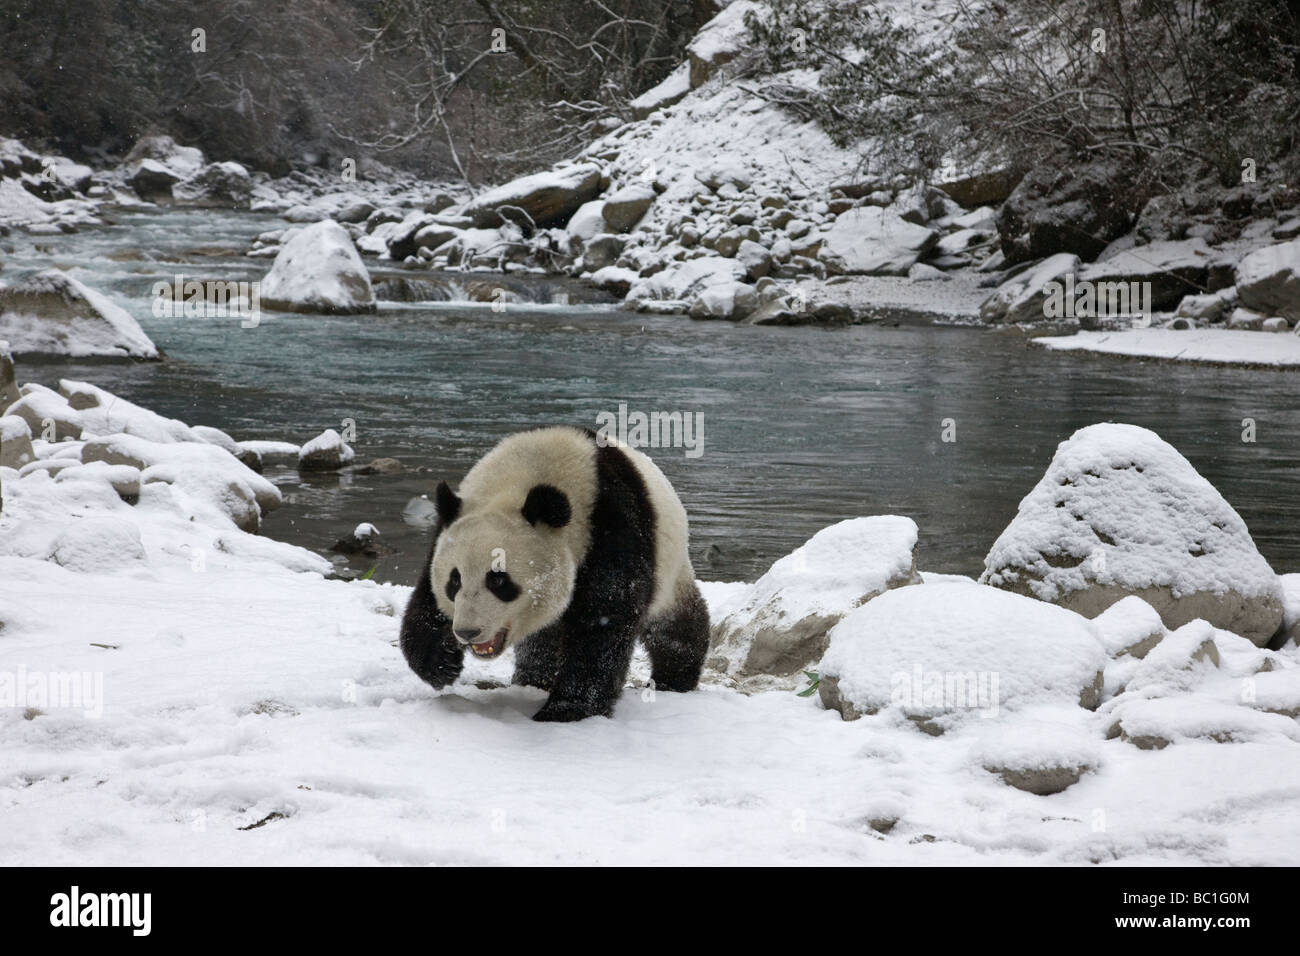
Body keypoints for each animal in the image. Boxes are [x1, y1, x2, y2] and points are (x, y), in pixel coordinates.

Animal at [400, 425, 711, 722]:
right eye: (454, 581)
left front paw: (566, 709)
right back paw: (533, 679)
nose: (467, 632)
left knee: (675, 628)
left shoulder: (611, 529)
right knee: (541, 641)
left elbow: (604, 620)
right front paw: (441, 663)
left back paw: (675, 678)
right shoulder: (446, 530)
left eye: (498, 580)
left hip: (671, 569)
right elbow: (426, 601)